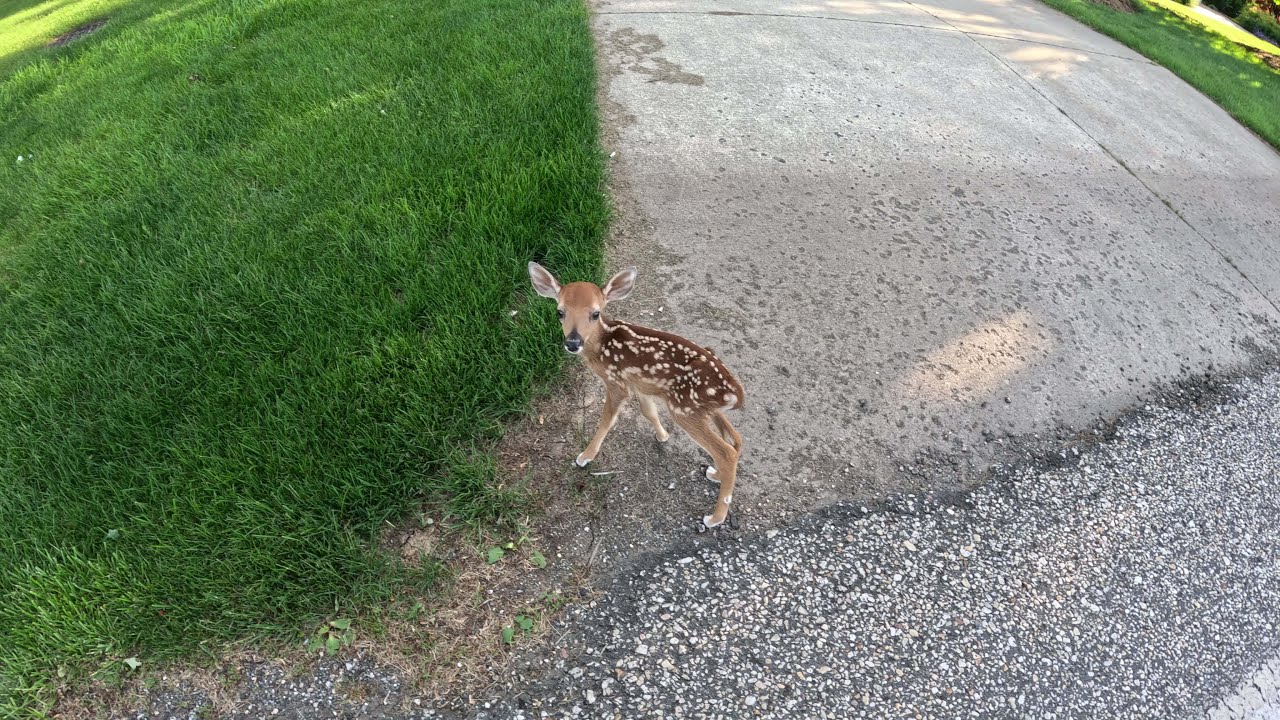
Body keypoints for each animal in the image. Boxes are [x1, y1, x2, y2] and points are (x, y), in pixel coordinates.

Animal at [528, 262, 746, 529]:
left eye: (595, 313)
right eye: (560, 312)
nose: (573, 342)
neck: (601, 347)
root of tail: (735, 394)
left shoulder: (616, 382)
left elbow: (606, 420)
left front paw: (585, 456)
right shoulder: (640, 385)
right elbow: (648, 411)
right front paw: (663, 436)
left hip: (685, 409)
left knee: (726, 452)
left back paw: (715, 517)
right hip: (705, 410)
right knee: (735, 439)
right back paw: (714, 474)